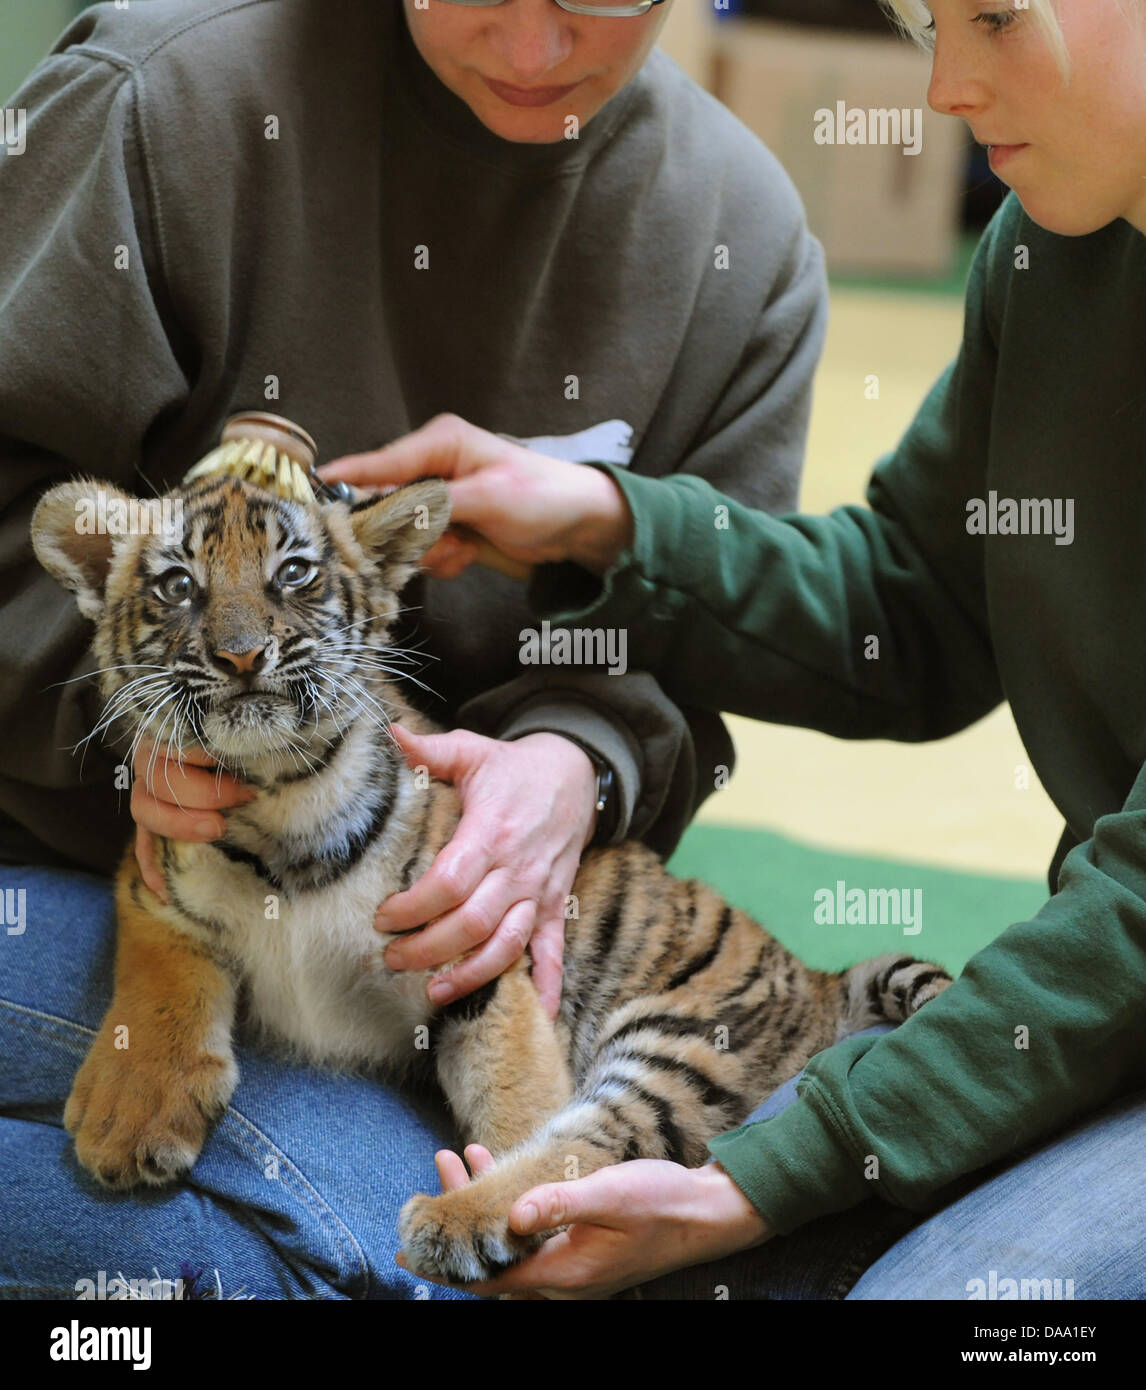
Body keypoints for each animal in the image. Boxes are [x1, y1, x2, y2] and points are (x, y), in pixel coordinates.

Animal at [30, 469, 952, 1287]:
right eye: (177, 585)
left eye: (293, 573)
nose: (241, 655)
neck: (276, 794)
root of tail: (820, 981)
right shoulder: (155, 872)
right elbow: (158, 983)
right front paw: (126, 1118)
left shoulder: (478, 949)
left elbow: (520, 1102)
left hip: (691, 1034)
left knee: (597, 1140)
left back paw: (464, 1220)